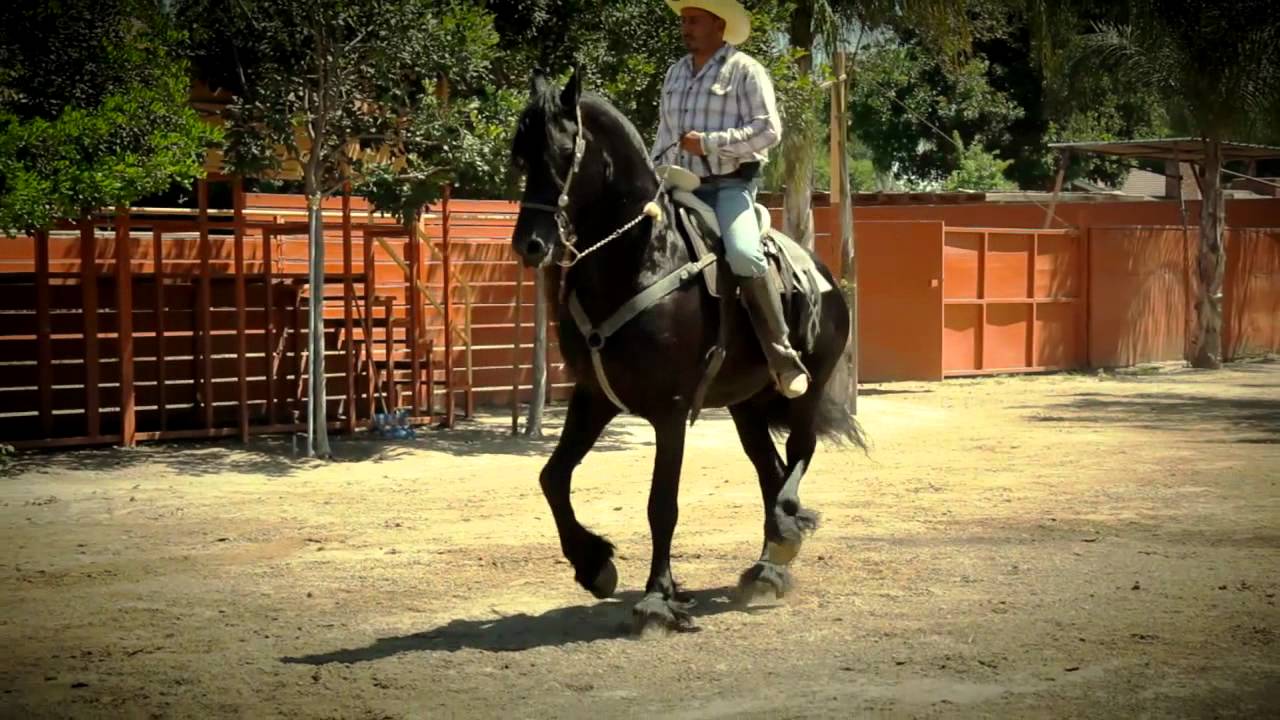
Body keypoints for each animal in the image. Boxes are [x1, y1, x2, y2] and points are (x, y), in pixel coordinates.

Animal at [509, 70, 865, 633]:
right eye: (520, 154)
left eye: (564, 151)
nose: (531, 244)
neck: (639, 257)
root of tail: (824, 275)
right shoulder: (593, 397)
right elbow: (553, 477)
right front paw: (595, 565)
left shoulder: (670, 412)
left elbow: (662, 504)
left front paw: (657, 598)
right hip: (745, 407)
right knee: (769, 472)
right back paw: (766, 567)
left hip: (806, 389)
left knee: (798, 455)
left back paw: (783, 539)